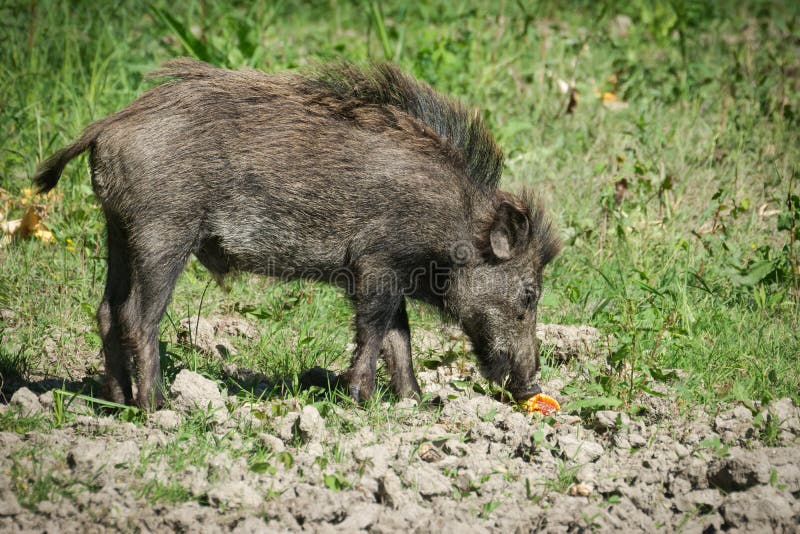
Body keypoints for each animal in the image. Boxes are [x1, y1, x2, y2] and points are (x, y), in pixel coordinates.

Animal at [34, 59, 560, 410]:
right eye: (529, 294)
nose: (534, 387)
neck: (456, 222)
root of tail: (107, 126)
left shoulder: (382, 275)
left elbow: (399, 337)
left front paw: (418, 402)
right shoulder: (377, 266)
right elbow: (377, 332)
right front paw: (361, 398)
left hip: (117, 231)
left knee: (105, 311)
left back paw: (116, 403)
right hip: (162, 233)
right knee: (136, 318)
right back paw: (159, 408)